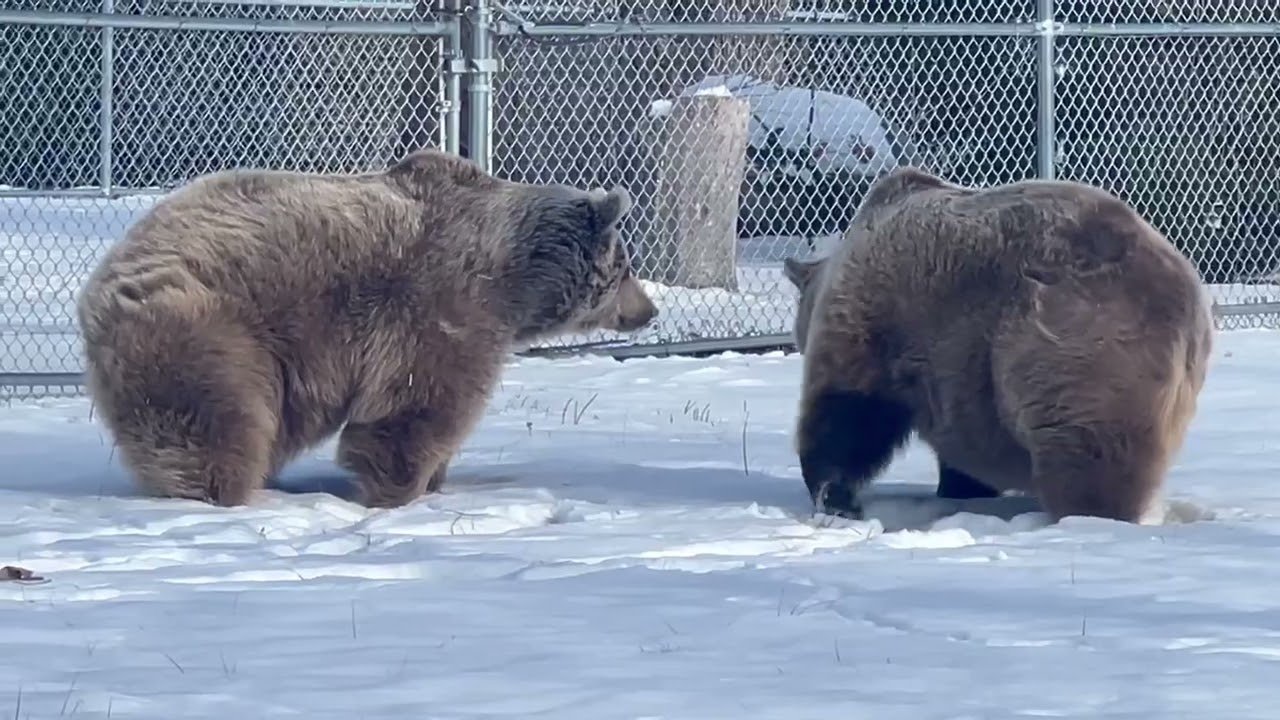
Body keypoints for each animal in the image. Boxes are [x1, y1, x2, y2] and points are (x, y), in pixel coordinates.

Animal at [76, 147, 659, 509]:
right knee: (214, 417)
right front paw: (400, 486)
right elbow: (416, 400)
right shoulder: (442, 304)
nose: (648, 310)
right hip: (209, 324)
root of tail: (100, 285)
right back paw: (219, 489)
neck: (516, 275)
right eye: (626, 266)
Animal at [783, 166, 1215, 524]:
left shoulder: (874, 318)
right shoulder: (960, 382)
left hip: (1073, 342)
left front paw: (834, 497)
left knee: (1088, 451)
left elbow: (849, 412)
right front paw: (963, 489)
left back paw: (1087, 516)